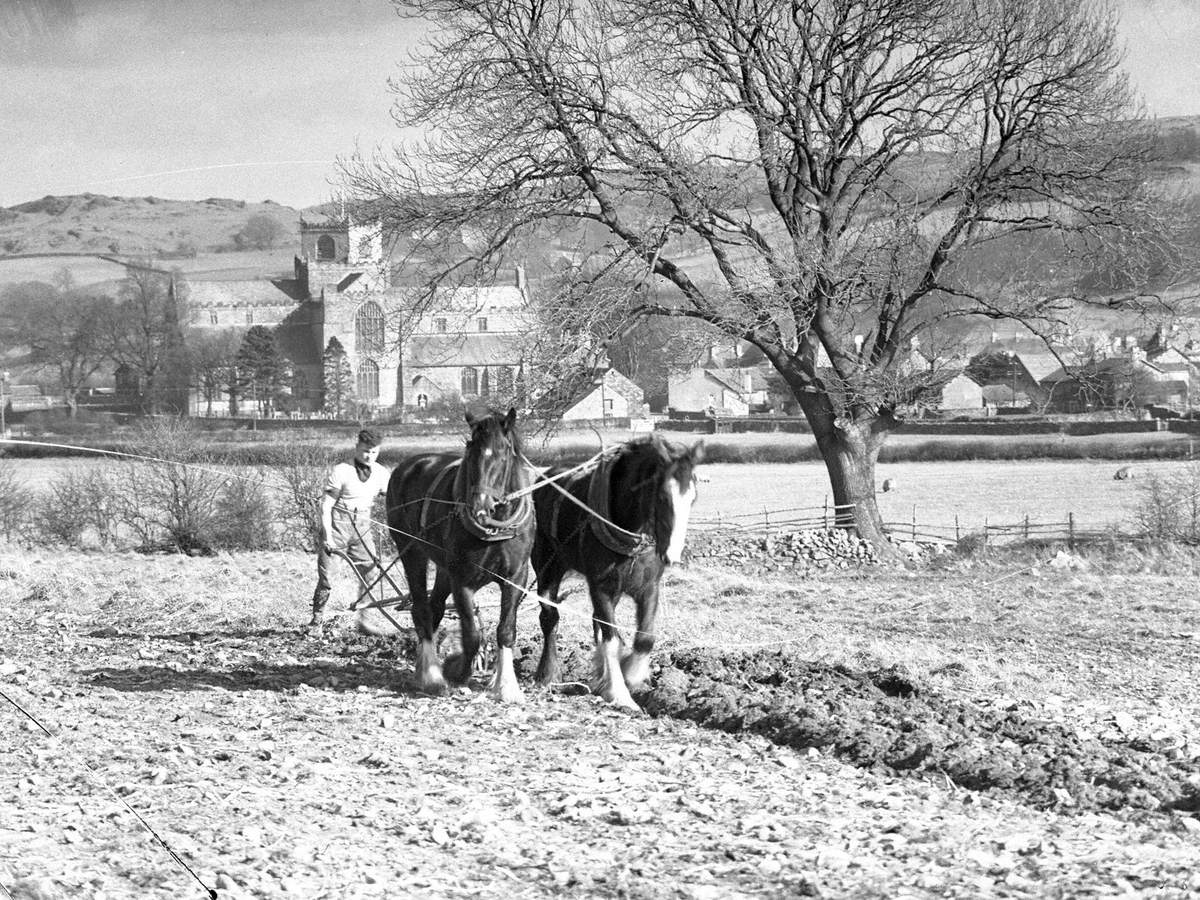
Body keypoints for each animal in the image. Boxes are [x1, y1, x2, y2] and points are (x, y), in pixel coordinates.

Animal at [384, 408, 534, 702]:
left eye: (503, 453)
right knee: (422, 610)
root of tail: (407, 466)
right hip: (412, 552)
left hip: (443, 568)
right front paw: (457, 670)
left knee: (435, 608)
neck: (494, 526)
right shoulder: (462, 580)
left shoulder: (515, 577)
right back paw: (431, 675)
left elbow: (505, 630)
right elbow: (472, 635)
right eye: (471, 449)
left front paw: (506, 685)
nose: (480, 506)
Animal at [531, 434, 705, 710]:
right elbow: (611, 640)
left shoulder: (648, 587)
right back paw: (547, 673)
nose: (673, 556)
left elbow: (644, 638)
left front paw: (631, 674)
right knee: (550, 617)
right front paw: (620, 693)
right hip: (548, 567)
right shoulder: (599, 586)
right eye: (662, 496)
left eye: (692, 497)